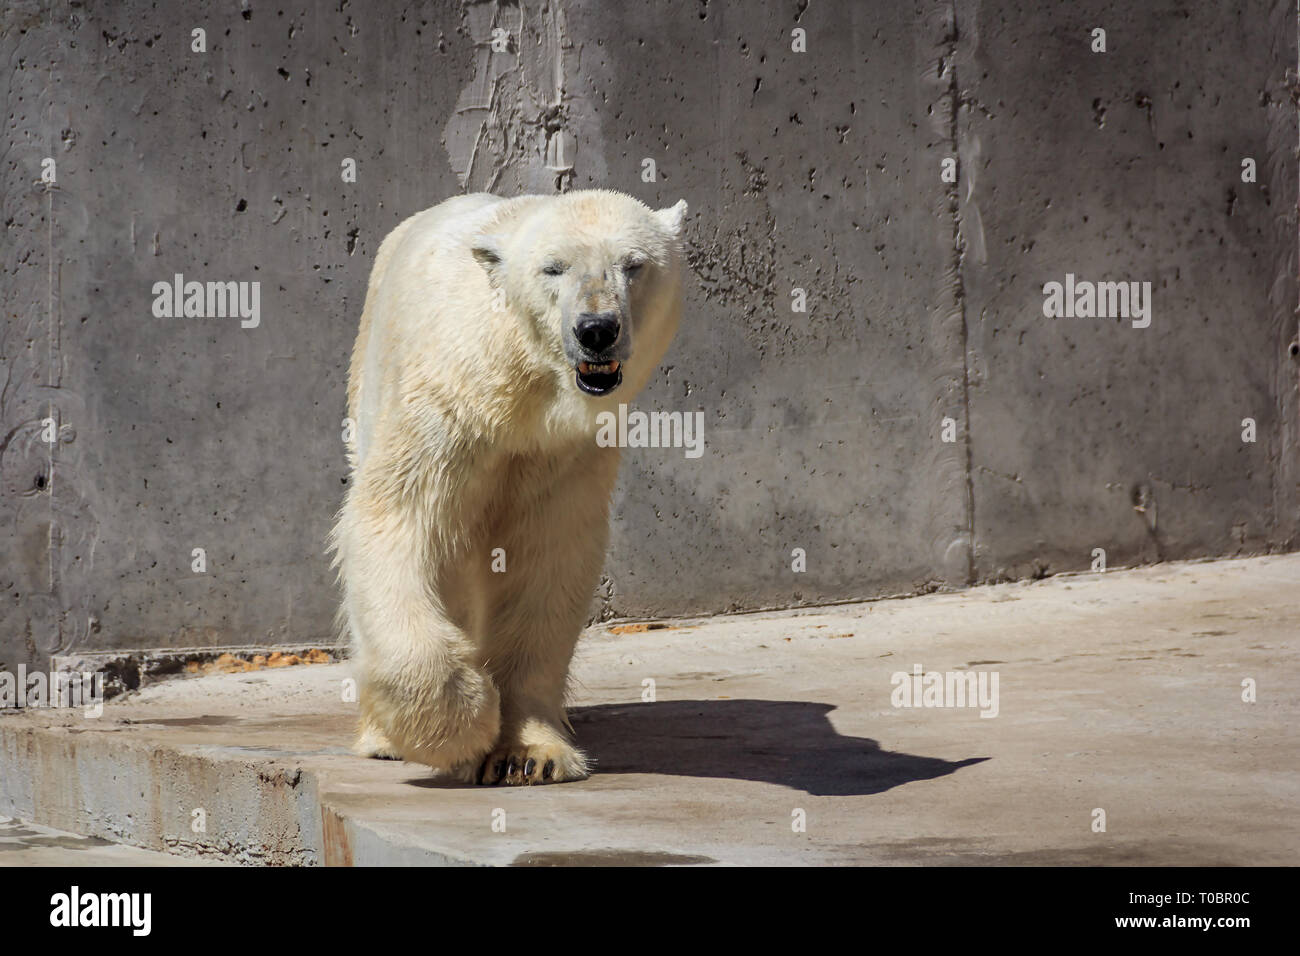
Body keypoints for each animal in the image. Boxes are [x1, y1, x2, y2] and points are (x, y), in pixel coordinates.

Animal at [331, 190, 688, 785]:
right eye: (554, 267)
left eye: (634, 264)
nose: (597, 329)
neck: (522, 384)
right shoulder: (447, 409)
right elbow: (400, 521)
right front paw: (462, 725)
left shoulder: (566, 451)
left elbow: (546, 557)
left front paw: (527, 754)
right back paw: (382, 737)